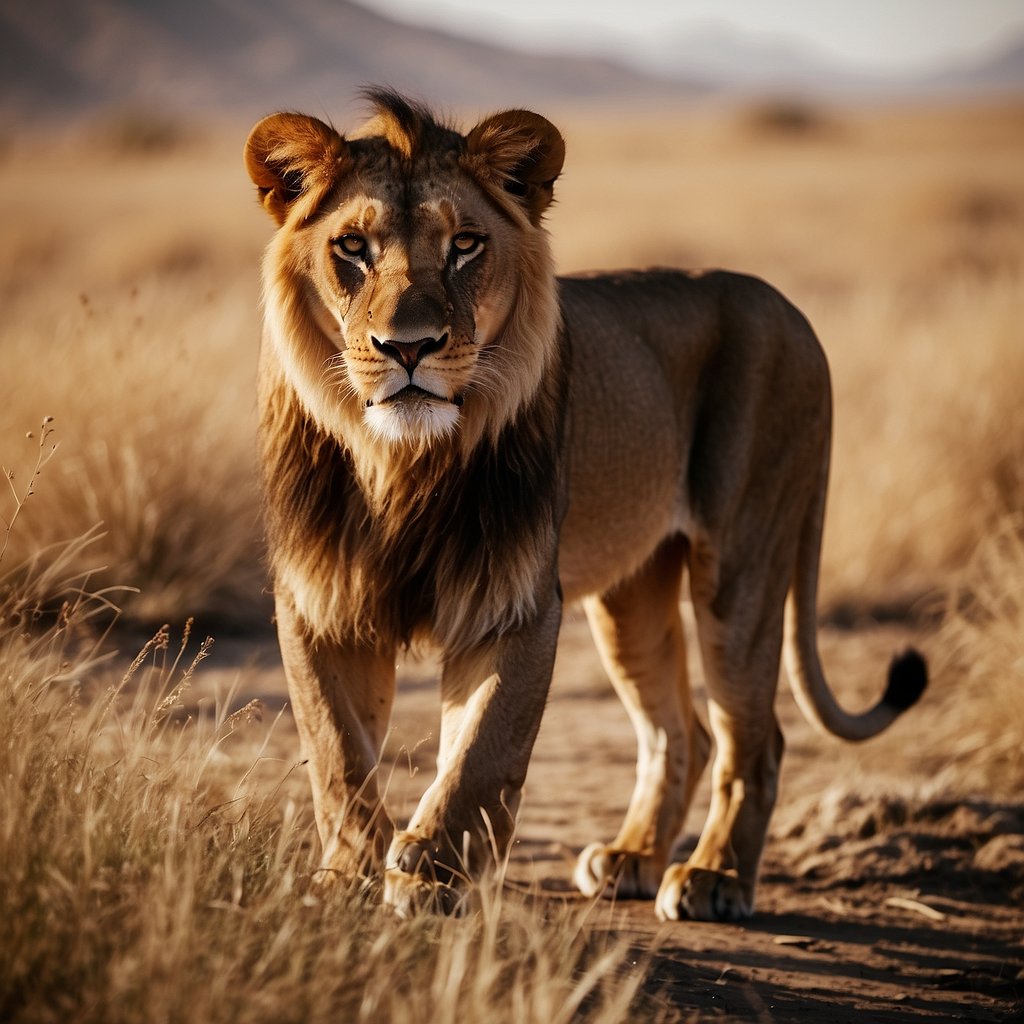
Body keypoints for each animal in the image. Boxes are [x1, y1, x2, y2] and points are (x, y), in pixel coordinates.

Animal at [244, 89, 927, 921]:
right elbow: (337, 752)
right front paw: (348, 877)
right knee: (680, 731)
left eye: (465, 244)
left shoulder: (514, 599)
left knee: (752, 738)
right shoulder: (320, 598)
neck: (401, 462)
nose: (409, 347)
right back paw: (631, 857)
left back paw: (713, 877)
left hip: (744, 561)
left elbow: (482, 747)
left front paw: (433, 873)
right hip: (634, 593)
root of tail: (789, 310)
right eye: (352, 246)